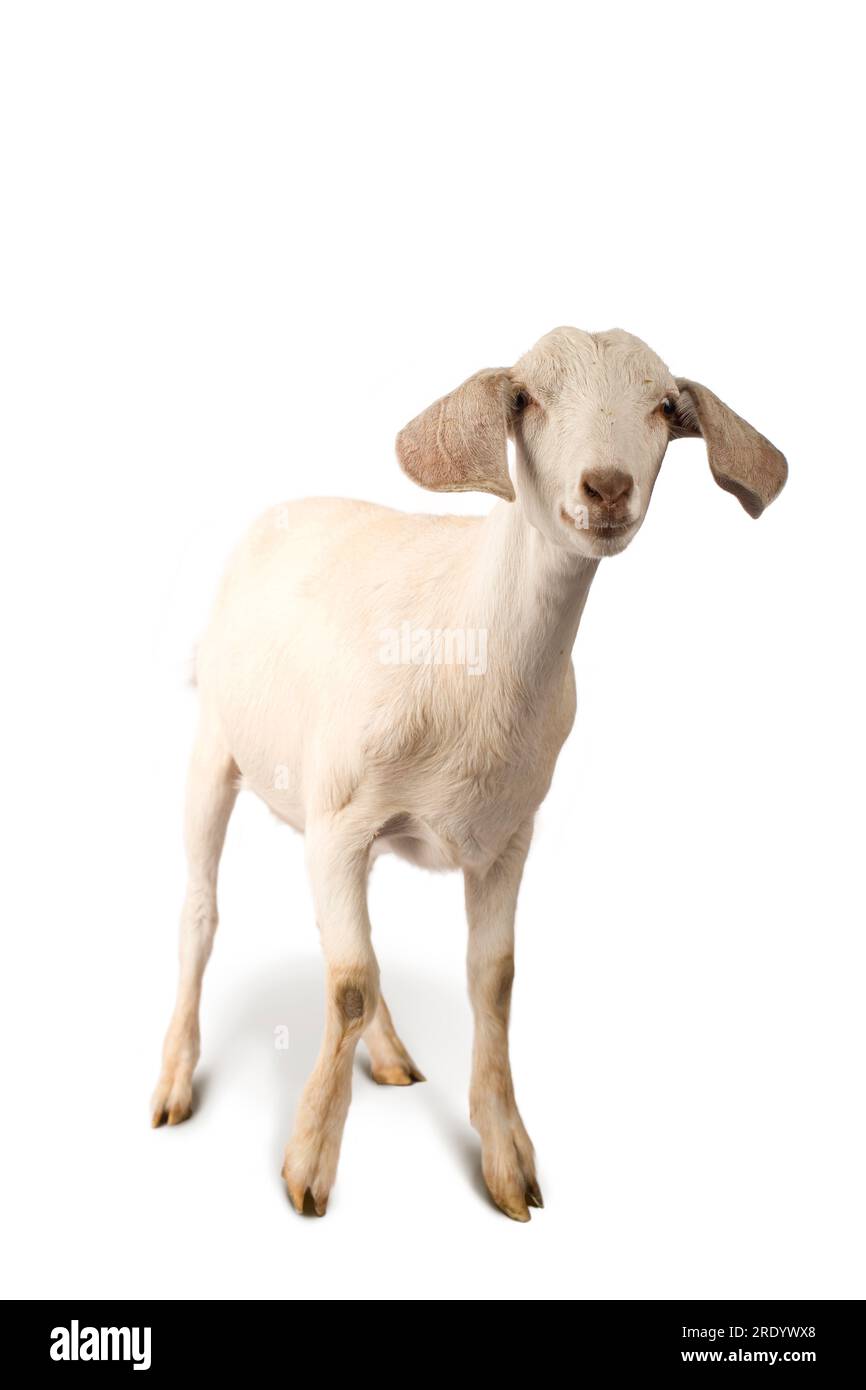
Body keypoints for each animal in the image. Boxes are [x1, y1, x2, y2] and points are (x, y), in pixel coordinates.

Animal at [152, 327, 787, 1220]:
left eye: (665, 407)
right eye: (528, 398)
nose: (607, 487)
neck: (472, 641)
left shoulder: (504, 836)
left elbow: (492, 982)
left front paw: (507, 1159)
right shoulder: (341, 820)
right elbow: (348, 983)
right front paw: (308, 1164)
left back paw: (387, 1056)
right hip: (216, 741)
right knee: (202, 915)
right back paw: (174, 1082)